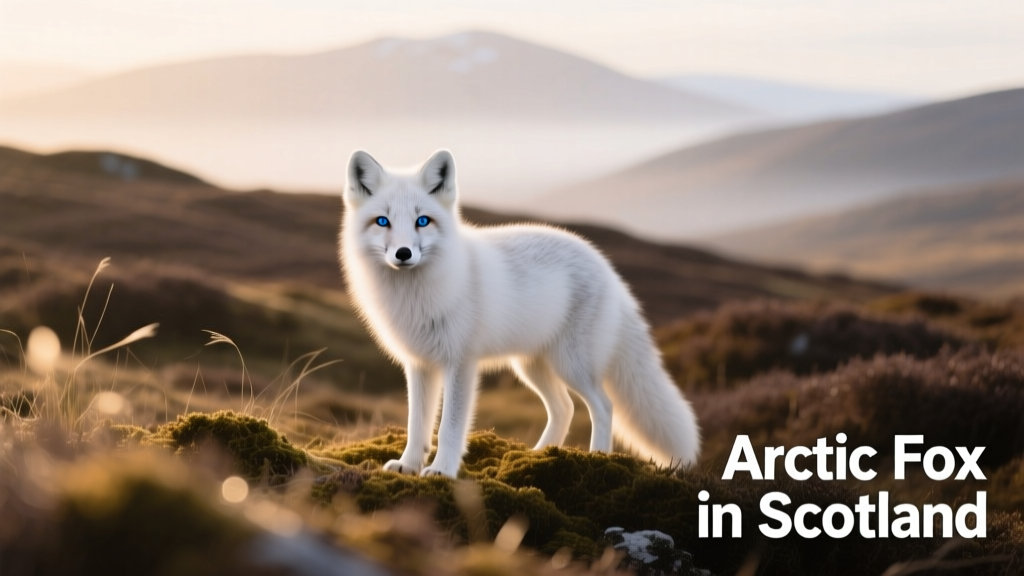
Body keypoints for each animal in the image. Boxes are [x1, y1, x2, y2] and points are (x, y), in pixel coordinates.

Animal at [338, 149, 700, 478]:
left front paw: (442, 470)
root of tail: (608, 269)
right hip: (531, 366)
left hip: (571, 364)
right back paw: (540, 455)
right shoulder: (419, 365)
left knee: (603, 405)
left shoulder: (461, 363)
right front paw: (409, 465)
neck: (416, 296)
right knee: (565, 408)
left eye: (422, 221)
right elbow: (417, 424)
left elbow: (449, 427)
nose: (403, 253)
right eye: (382, 221)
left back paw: (597, 457)